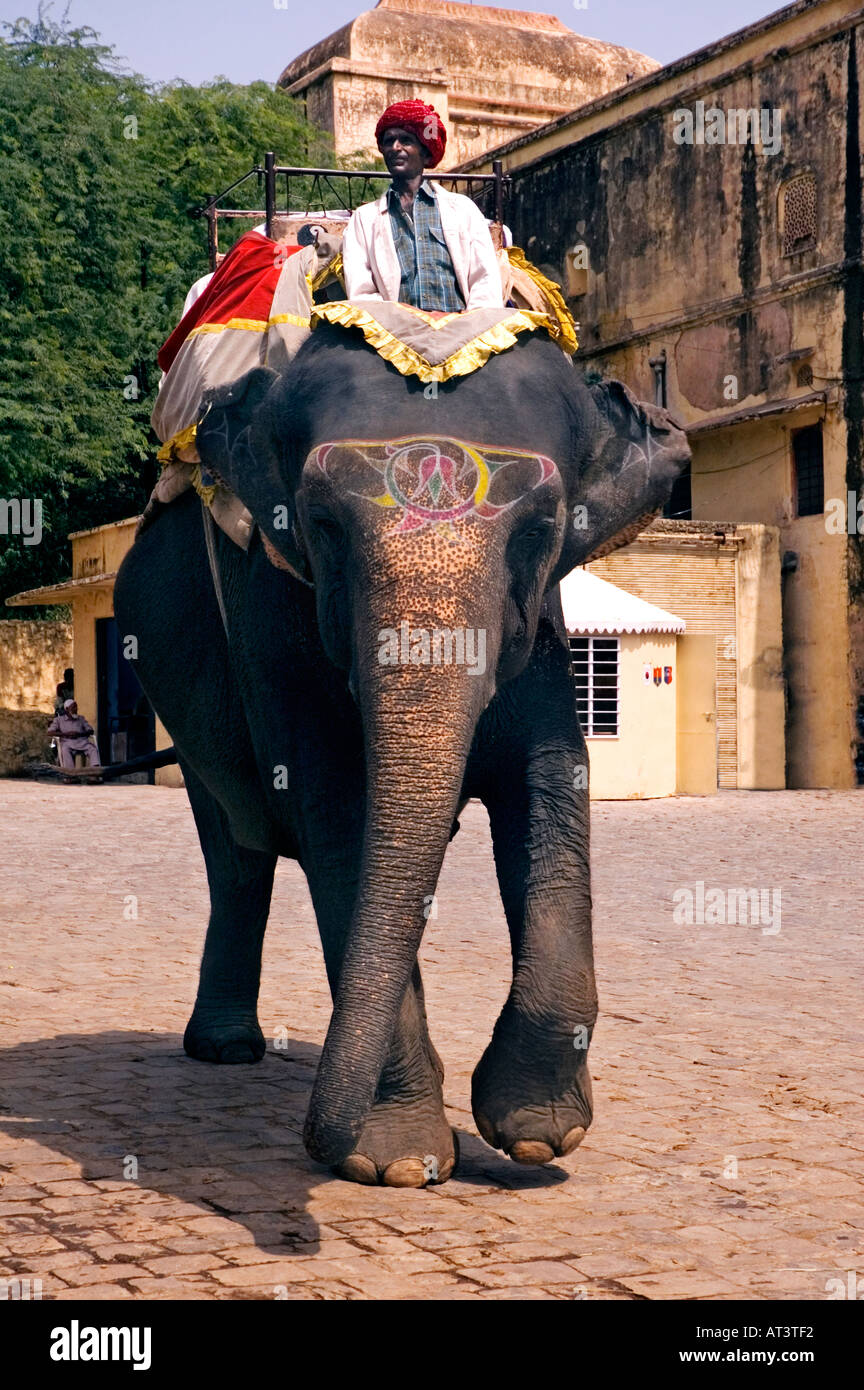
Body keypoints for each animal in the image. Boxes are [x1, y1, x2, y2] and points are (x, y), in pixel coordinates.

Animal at [114, 325, 690, 1187]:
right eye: (321, 525)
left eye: (538, 532)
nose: (316, 1140)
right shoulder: (272, 615)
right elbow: (337, 816)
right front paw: (398, 1164)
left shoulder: (543, 623)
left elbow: (551, 788)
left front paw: (536, 1135)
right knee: (236, 852)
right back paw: (226, 1050)